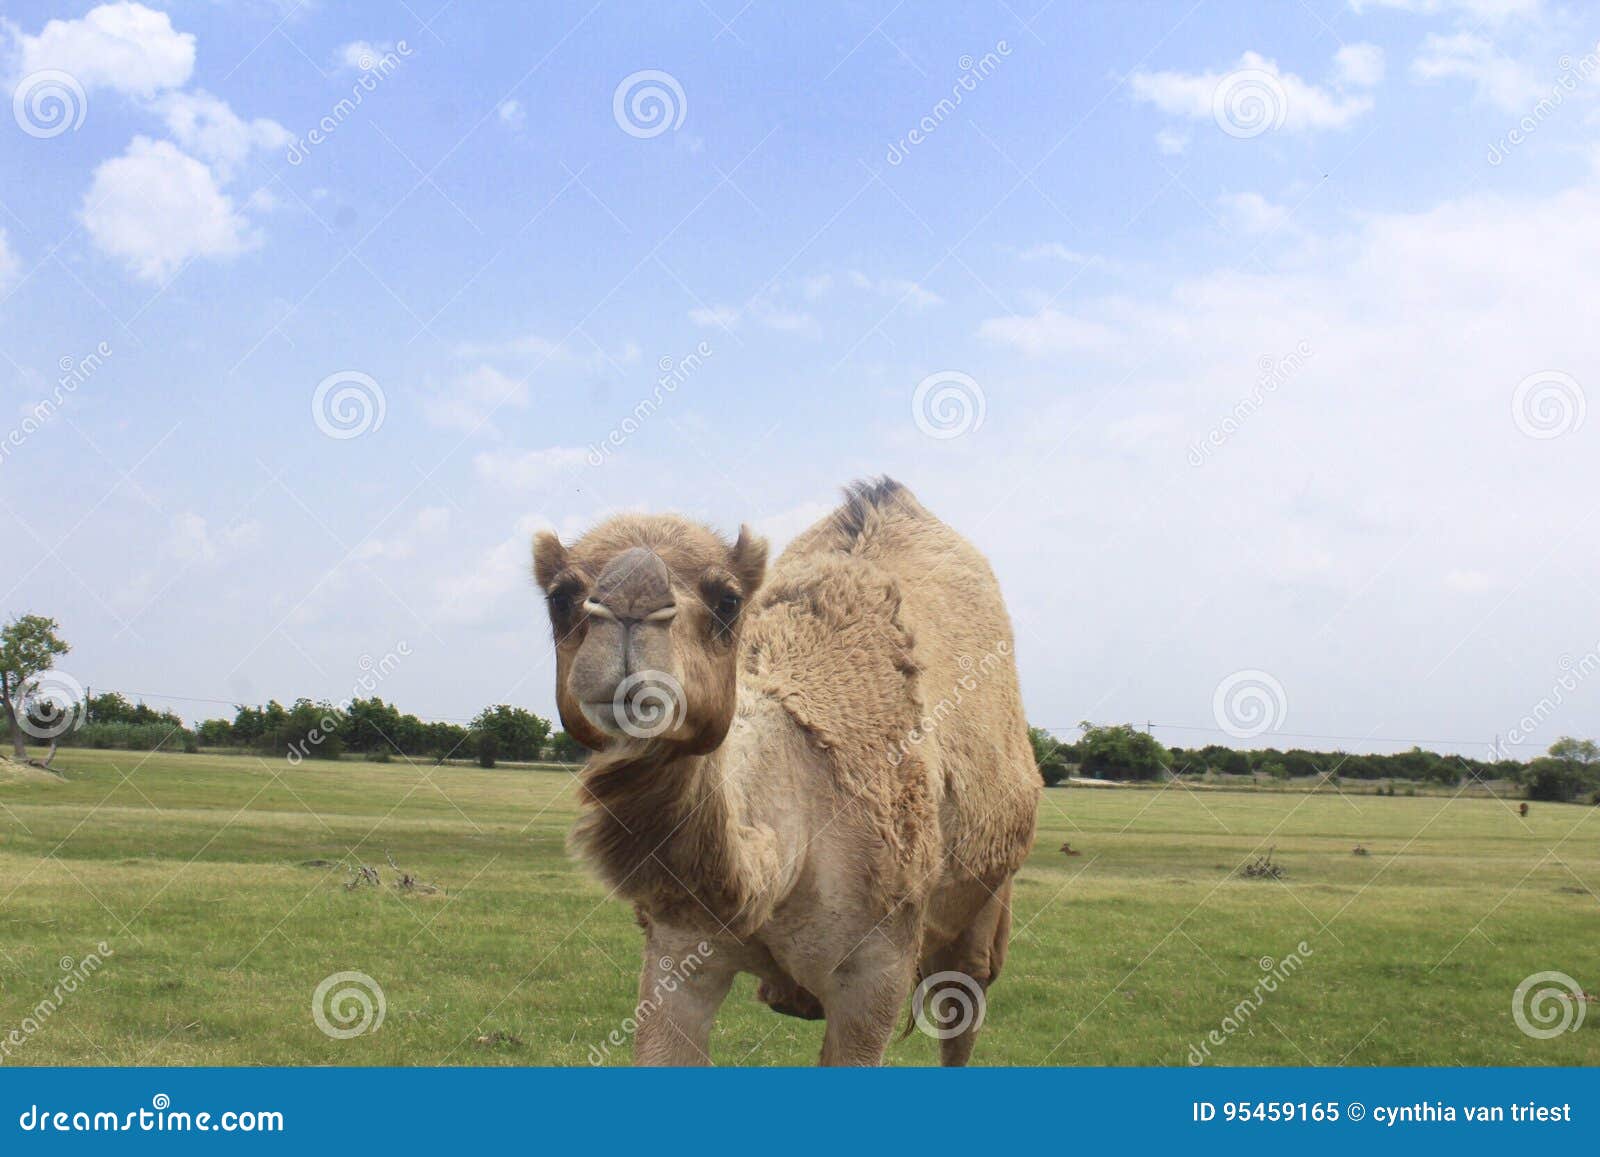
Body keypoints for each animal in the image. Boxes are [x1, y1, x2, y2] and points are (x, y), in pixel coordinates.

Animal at [531, 478, 1039, 1065]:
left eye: (727, 599)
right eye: (560, 596)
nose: (631, 599)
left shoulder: (878, 972)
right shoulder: (677, 948)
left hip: (987, 899)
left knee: (964, 1003)